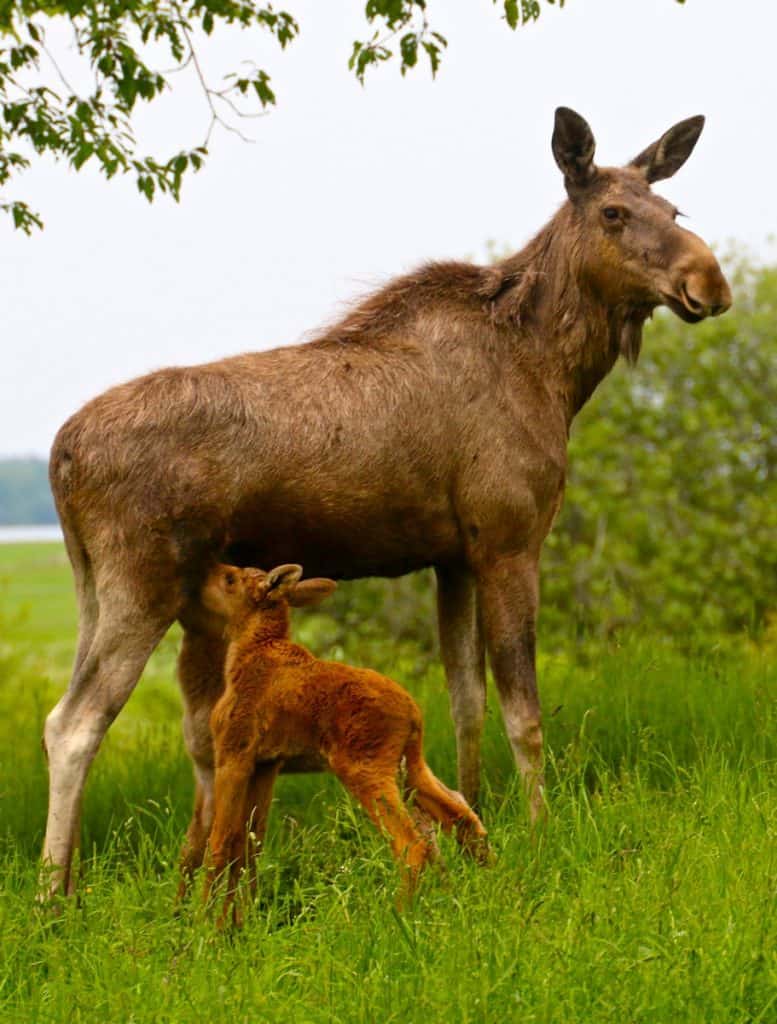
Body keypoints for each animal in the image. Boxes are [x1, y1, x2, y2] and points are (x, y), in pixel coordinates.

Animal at [196, 563, 488, 926]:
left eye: (230, 579)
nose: (206, 571)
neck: (244, 654)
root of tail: (414, 715)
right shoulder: (266, 762)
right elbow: (247, 845)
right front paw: (238, 924)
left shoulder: (232, 751)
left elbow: (219, 844)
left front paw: (202, 926)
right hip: (412, 765)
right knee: (464, 817)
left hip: (364, 767)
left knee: (412, 844)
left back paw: (396, 917)